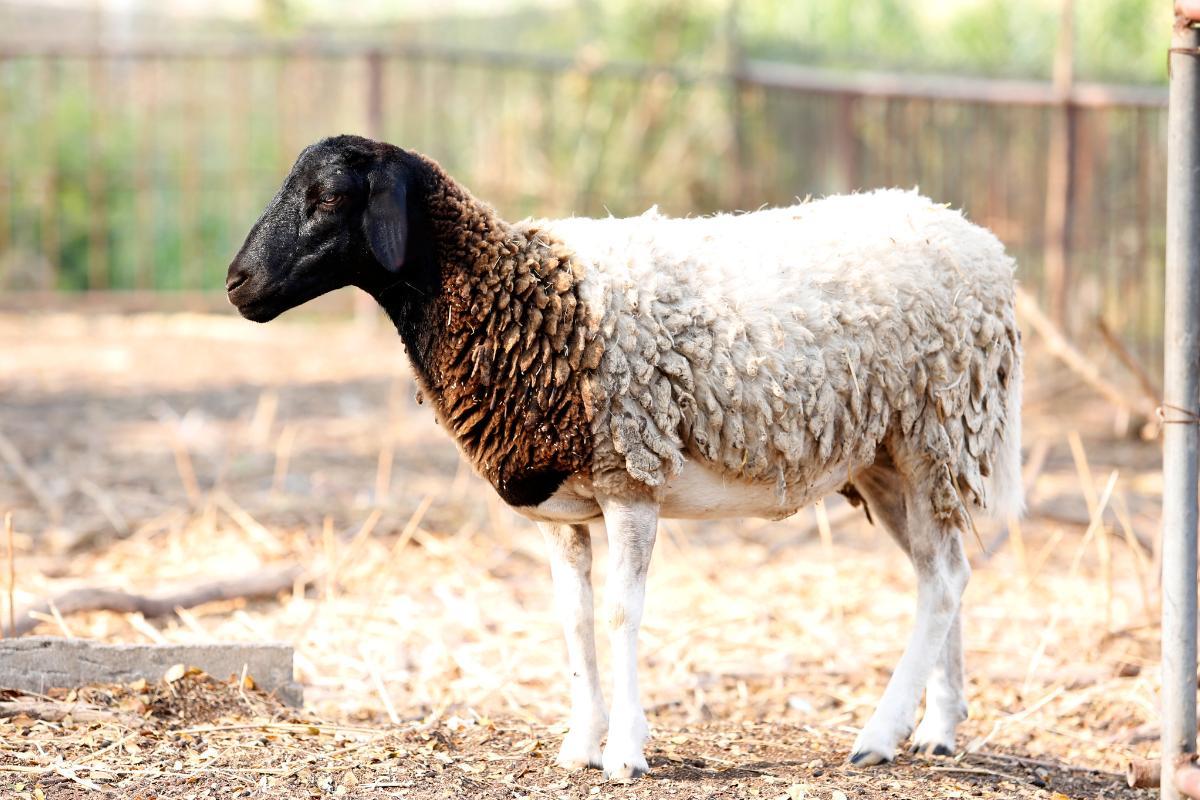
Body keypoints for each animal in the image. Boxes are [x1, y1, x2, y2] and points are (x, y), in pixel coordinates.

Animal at [226, 134, 1023, 780]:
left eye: (330, 196)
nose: (237, 283)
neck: (514, 299)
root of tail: (980, 242)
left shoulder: (629, 480)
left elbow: (619, 614)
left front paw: (626, 755)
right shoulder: (559, 507)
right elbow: (574, 620)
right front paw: (581, 745)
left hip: (940, 432)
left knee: (943, 581)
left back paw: (880, 738)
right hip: (885, 460)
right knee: (943, 573)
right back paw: (937, 731)